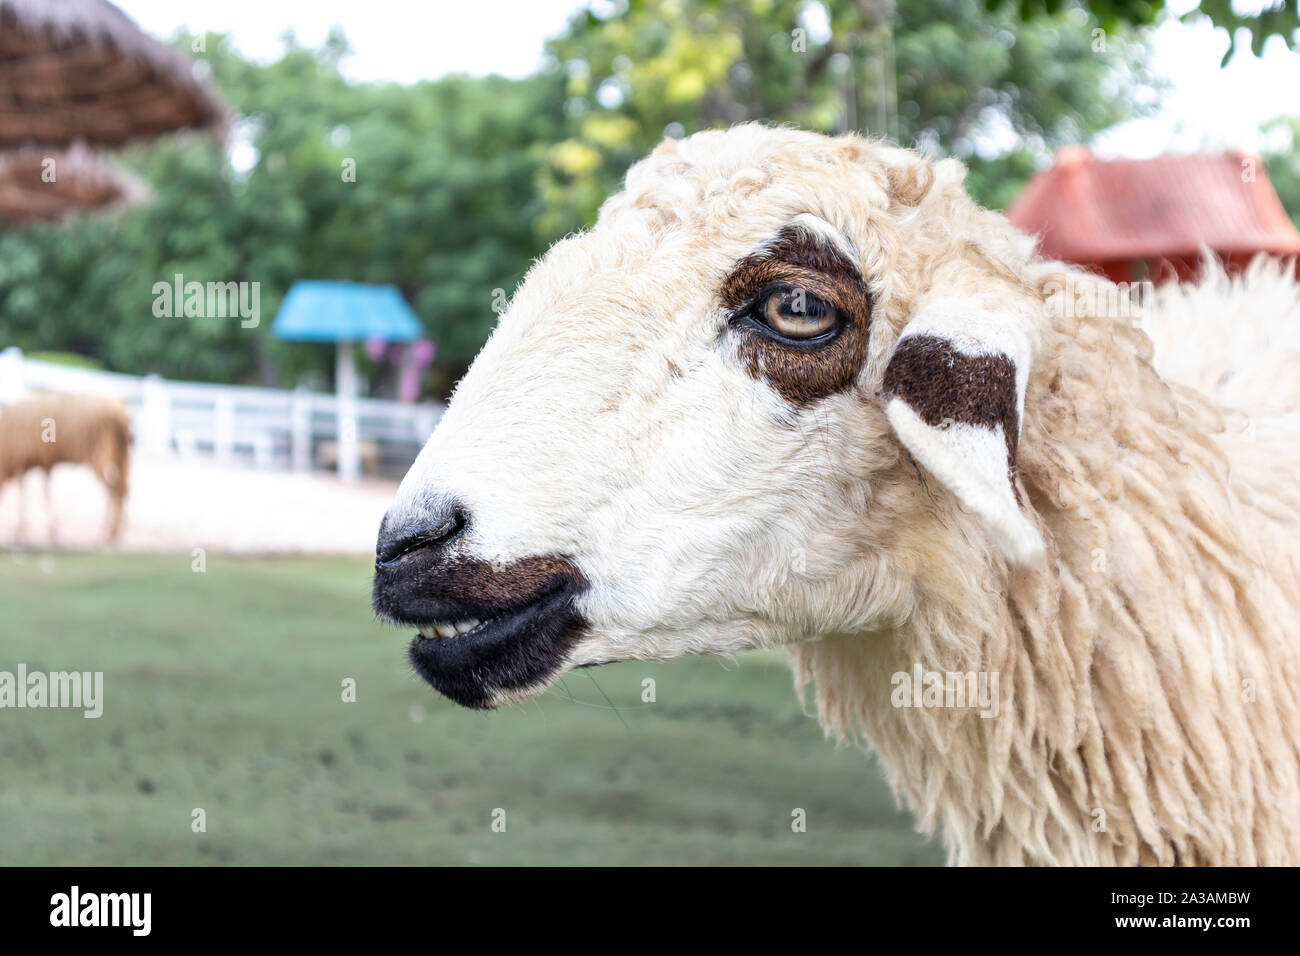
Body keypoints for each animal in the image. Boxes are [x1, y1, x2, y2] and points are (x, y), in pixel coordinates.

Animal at [0, 392, 131, 544]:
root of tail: (120, 410)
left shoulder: (25, 460)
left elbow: (36, 494)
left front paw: (27, 530)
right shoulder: (38, 463)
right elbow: (36, 492)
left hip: (101, 454)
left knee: (113, 490)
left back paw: (108, 533)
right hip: (121, 455)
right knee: (121, 489)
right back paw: (114, 531)